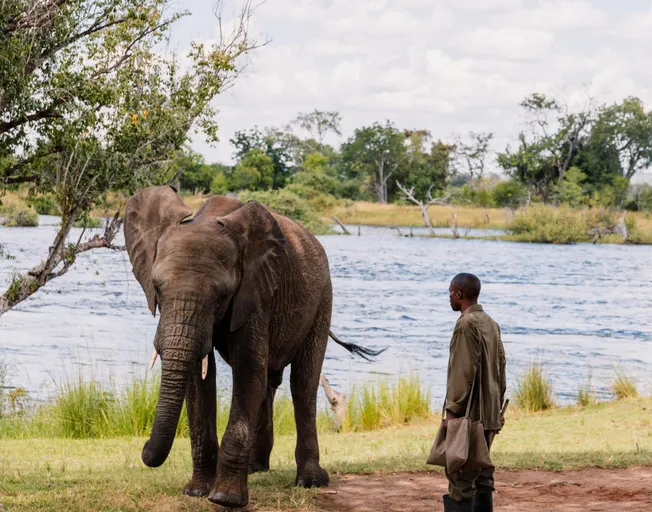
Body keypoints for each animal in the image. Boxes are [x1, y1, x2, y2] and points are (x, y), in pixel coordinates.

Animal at [123, 185, 382, 508]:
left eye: (222, 295)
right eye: (157, 288)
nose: (145, 449)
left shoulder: (255, 294)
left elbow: (247, 373)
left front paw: (225, 499)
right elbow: (200, 381)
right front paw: (196, 492)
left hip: (323, 299)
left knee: (303, 382)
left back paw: (310, 481)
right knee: (269, 382)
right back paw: (256, 468)